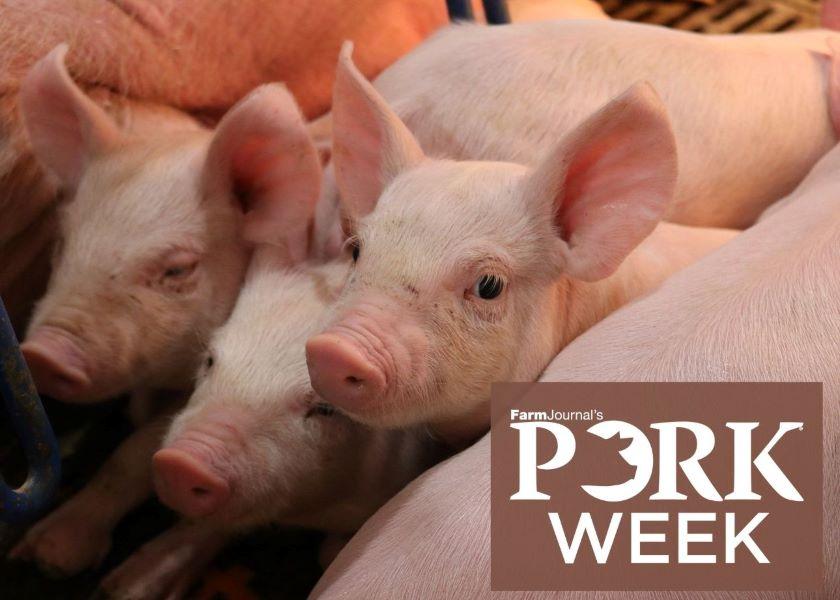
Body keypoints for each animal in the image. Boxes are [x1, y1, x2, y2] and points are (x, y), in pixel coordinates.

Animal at [9, 45, 323, 576]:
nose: (42, 354)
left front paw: (53, 555)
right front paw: (27, 554)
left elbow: (135, 454)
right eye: (64, 242)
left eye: (177, 269)